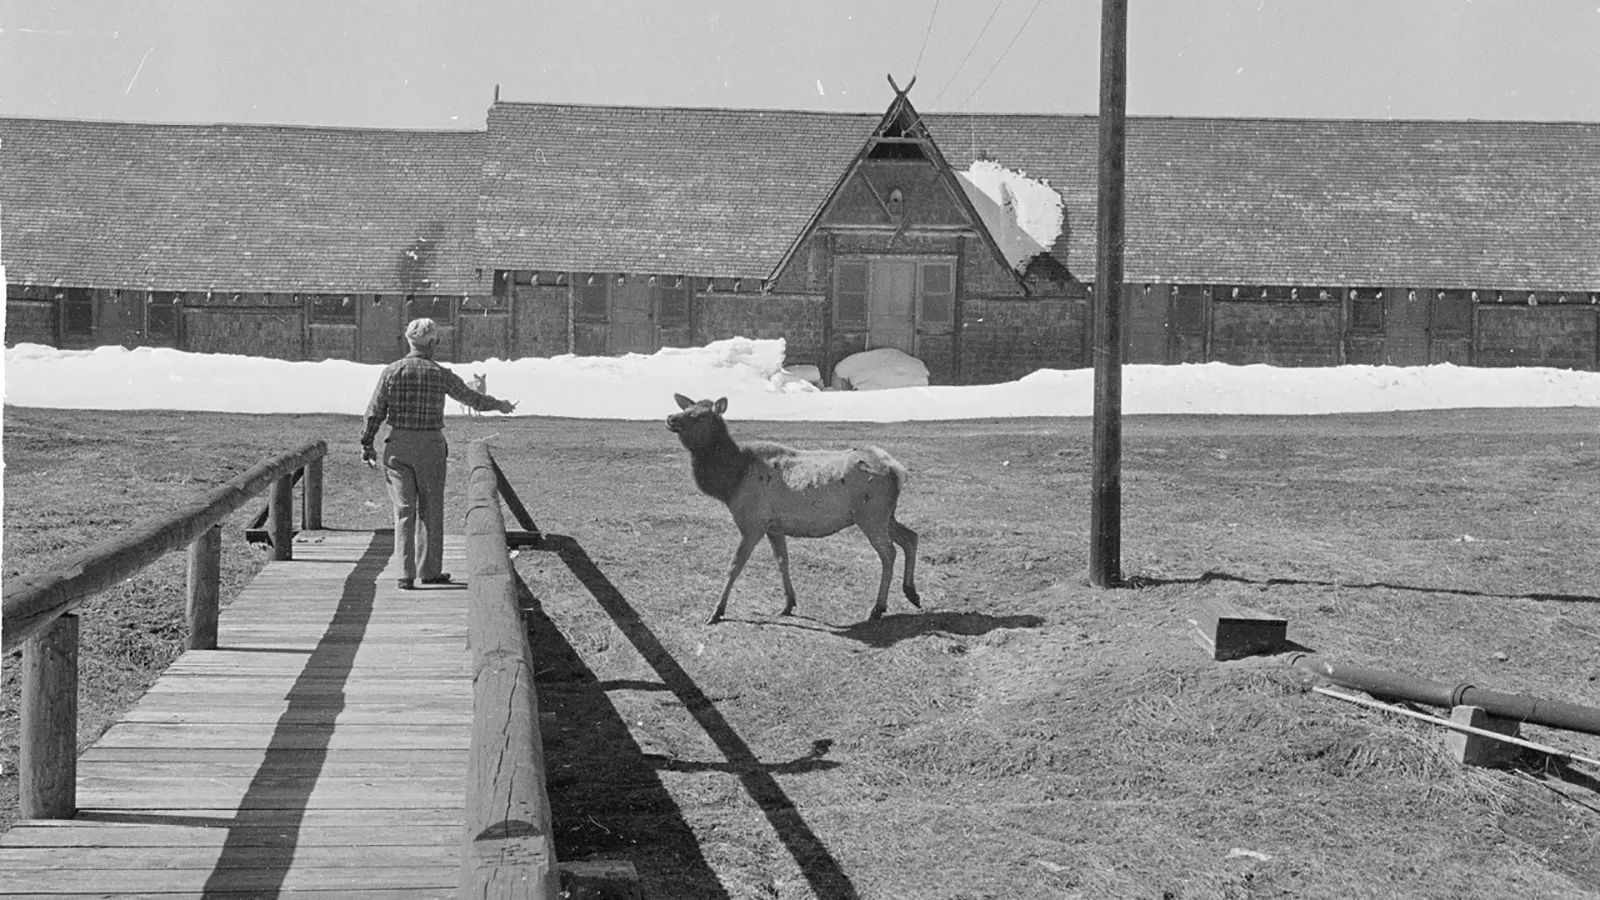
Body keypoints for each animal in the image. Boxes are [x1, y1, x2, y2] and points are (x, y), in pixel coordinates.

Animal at [667, 393, 921, 625]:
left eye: (699, 416)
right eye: (686, 407)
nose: (670, 418)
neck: (731, 482)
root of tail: (897, 470)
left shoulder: (752, 523)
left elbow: (734, 566)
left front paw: (716, 612)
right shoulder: (774, 527)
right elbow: (782, 561)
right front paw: (788, 604)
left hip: (871, 515)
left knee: (889, 553)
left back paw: (878, 608)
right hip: (886, 515)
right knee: (911, 537)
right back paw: (912, 593)